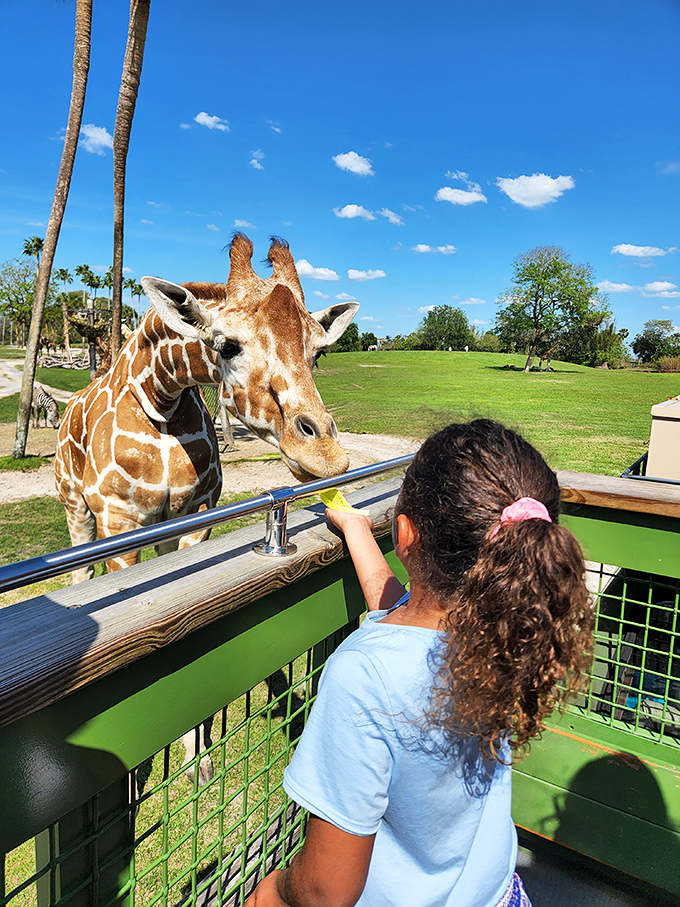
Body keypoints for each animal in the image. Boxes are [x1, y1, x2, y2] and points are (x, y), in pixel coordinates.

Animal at [54, 234, 358, 785]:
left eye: (319, 352)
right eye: (226, 345)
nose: (325, 456)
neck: (162, 398)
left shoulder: (196, 518)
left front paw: (198, 756)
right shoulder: (119, 524)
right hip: (77, 511)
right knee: (80, 574)